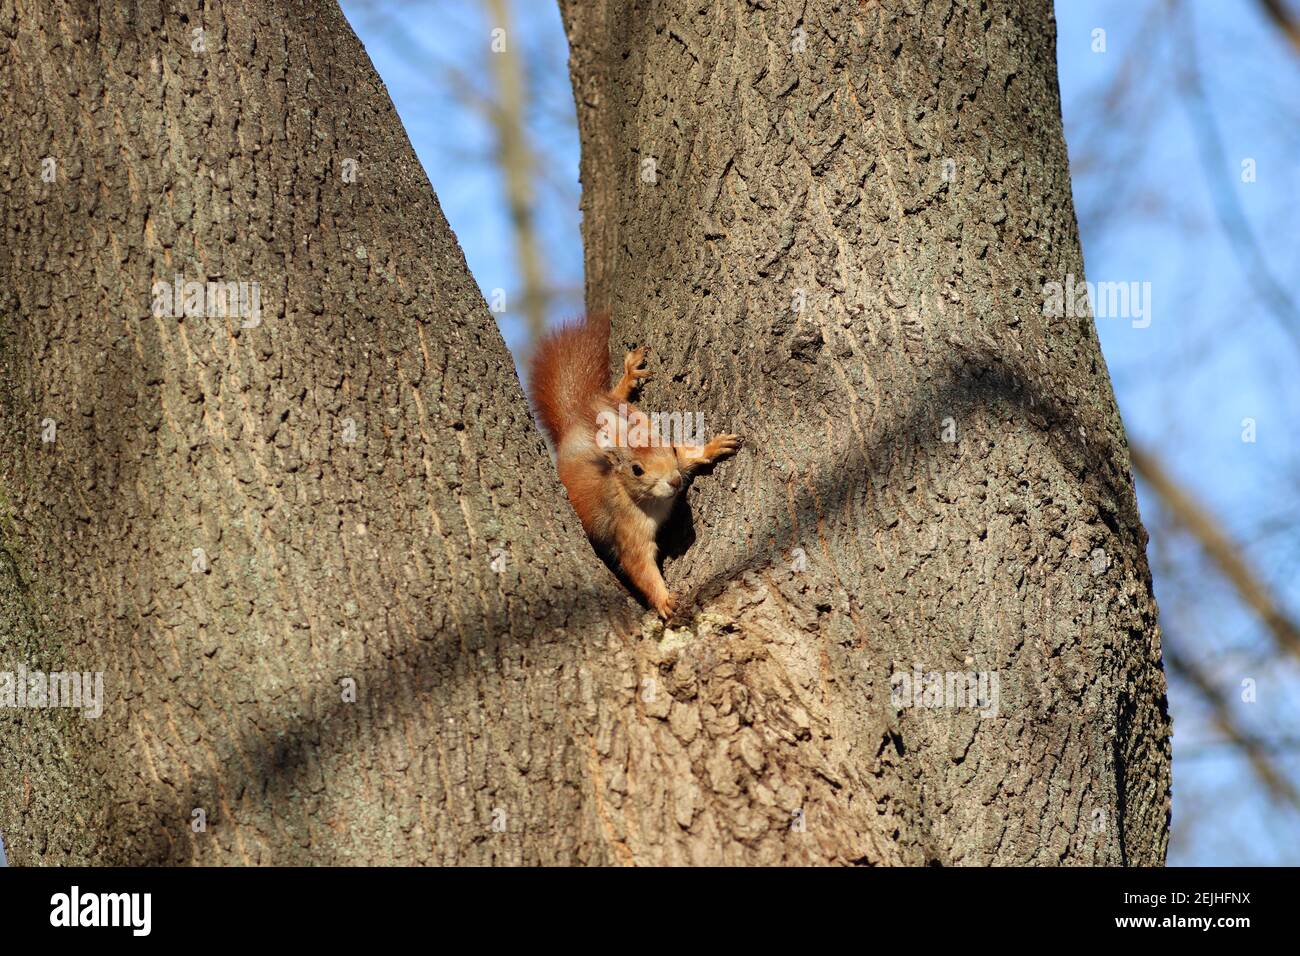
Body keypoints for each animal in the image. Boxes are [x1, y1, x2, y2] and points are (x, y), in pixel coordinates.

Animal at [528, 314, 742, 619]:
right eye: (636, 470)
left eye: (670, 448)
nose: (675, 482)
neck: (651, 501)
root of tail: (572, 425)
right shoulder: (626, 526)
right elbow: (638, 564)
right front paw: (664, 600)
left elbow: (688, 456)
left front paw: (713, 447)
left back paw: (629, 377)